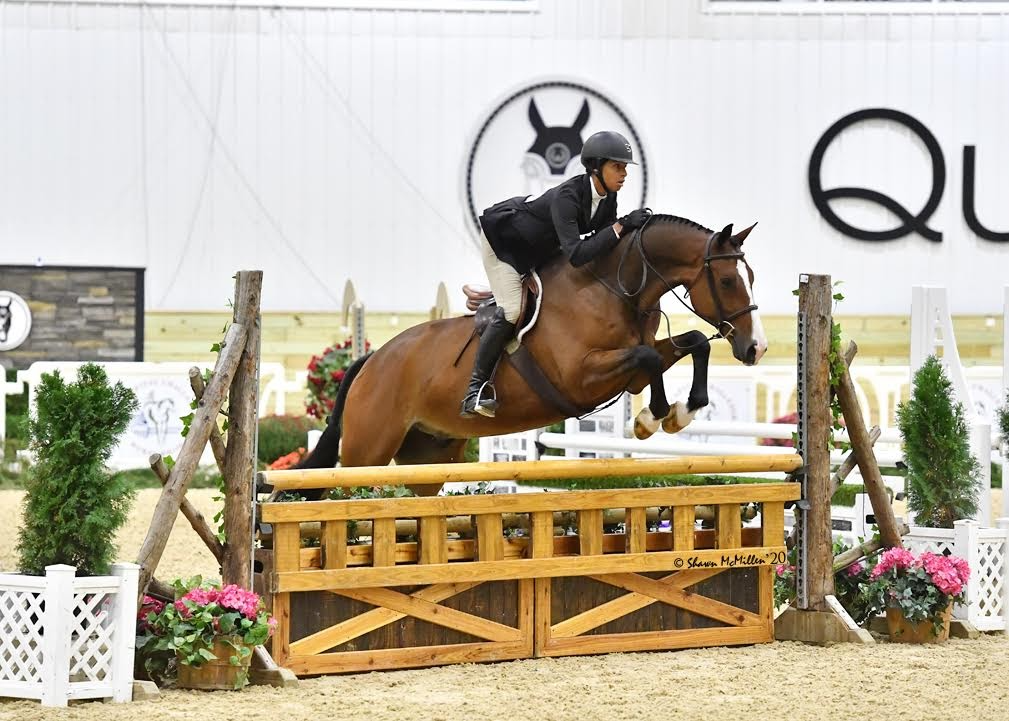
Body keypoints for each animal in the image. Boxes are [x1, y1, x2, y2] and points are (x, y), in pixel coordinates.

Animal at [295, 215, 766, 497]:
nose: (755, 348)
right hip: (366, 454)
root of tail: (370, 362)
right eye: (728, 281)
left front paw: (681, 412)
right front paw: (652, 419)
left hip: (427, 457)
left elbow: (693, 342)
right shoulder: (581, 377)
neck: (615, 289)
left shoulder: (628, 362)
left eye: (751, 275)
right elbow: (651, 360)